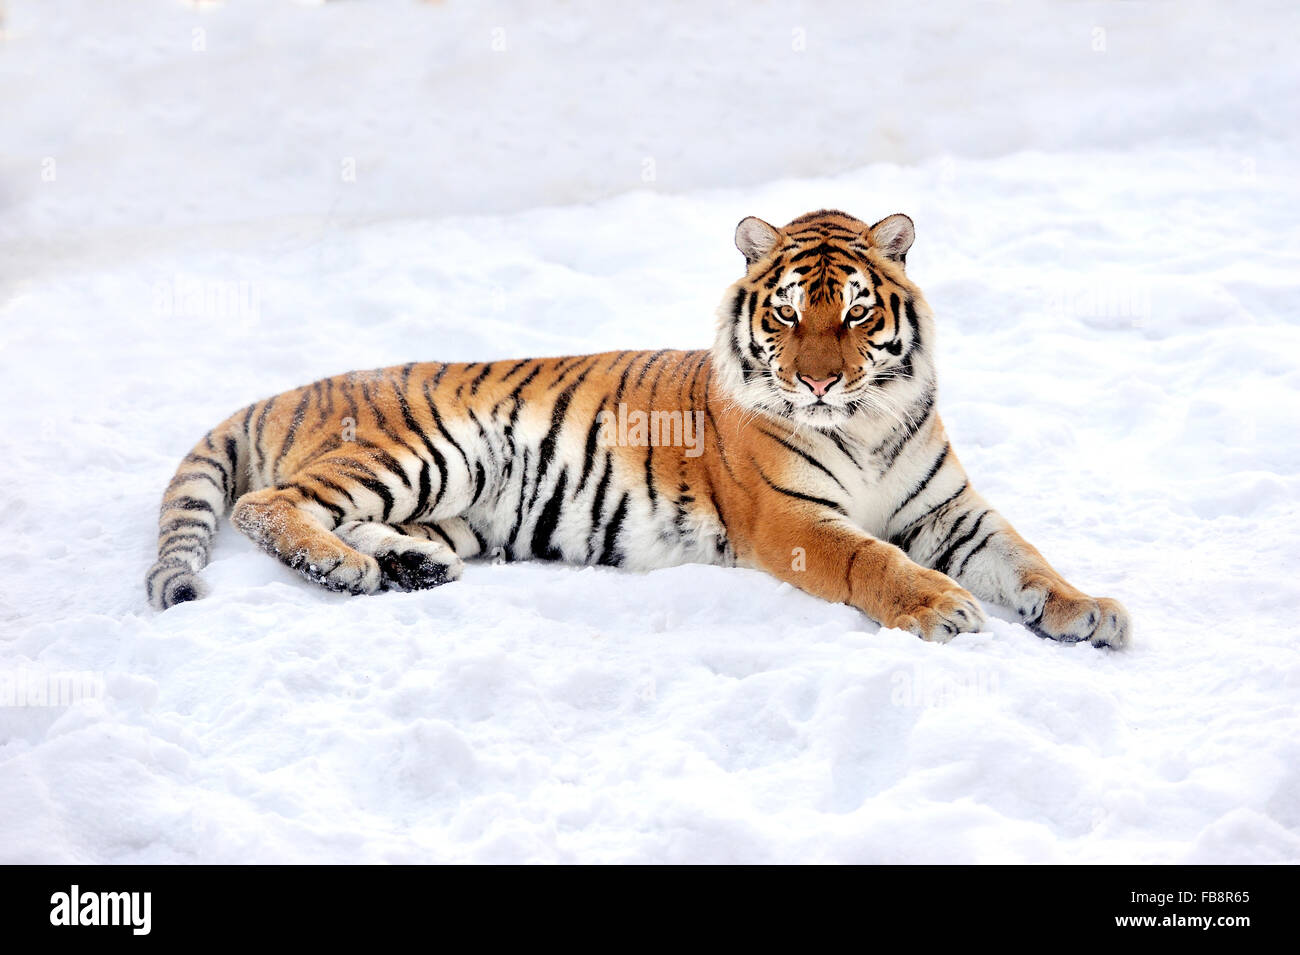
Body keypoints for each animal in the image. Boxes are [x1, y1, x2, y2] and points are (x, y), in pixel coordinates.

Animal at [146, 208, 1130, 648]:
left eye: (854, 313)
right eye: (785, 314)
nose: (817, 379)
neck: (869, 419)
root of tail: (292, 389)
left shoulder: (950, 509)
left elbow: (1025, 557)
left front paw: (1088, 609)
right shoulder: (792, 517)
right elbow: (874, 560)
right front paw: (942, 607)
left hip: (450, 506)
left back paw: (407, 567)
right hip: (420, 449)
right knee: (272, 506)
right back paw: (346, 568)